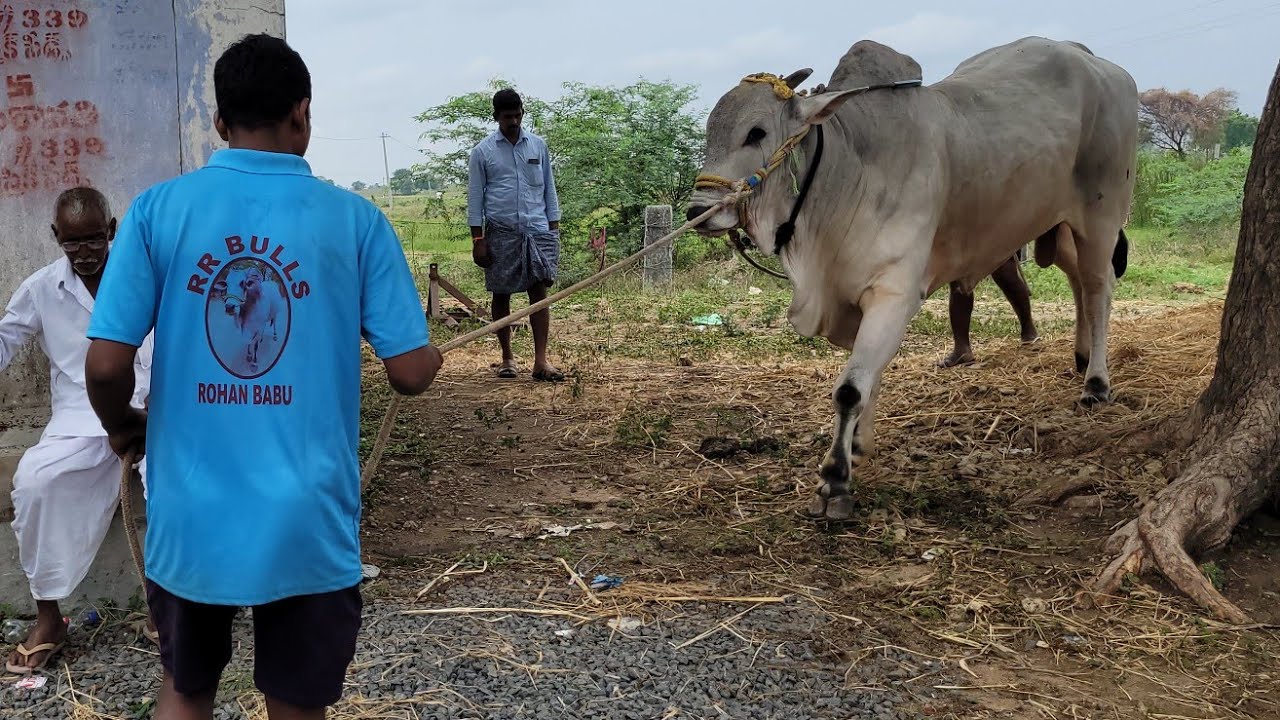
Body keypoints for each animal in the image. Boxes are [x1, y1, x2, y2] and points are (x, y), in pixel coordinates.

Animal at [686, 37, 1138, 519]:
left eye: (756, 132)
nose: (698, 211)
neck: (847, 173)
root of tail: (1092, 60)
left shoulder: (893, 293)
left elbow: (850, 389)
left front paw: (836, 479)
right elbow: (869, 377)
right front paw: (858, 445)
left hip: (1101, 216)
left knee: (1098, 289)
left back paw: (1097, 382)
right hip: (1059, 225)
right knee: (1079, 286)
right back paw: (1081, 357)